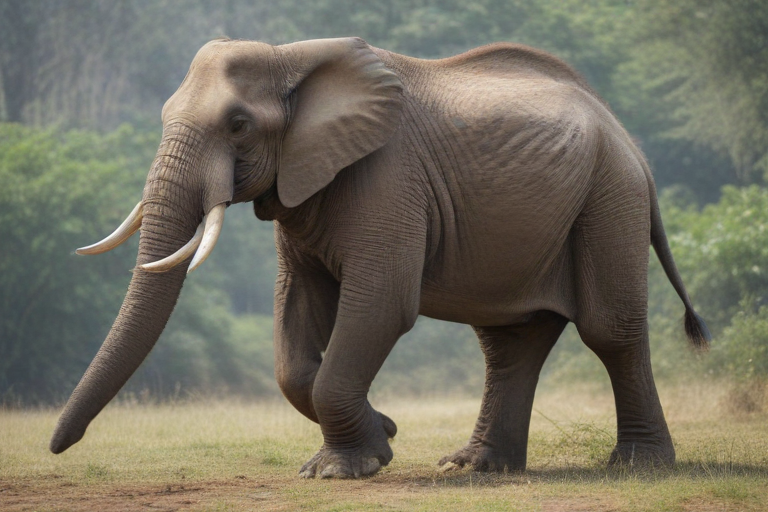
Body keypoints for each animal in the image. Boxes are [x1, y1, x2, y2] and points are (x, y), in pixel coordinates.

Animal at [49, 37, 710, 479]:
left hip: (610, 197)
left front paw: (350, 465)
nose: (56, 448)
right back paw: (474, 467)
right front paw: (379, 434)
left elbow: (381, 304)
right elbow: (297, 320)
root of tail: (627, 137)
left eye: (237, 125)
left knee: (609, 330)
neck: (291, 59)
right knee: (508, 341)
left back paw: (639, 467)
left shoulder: (387, 178)